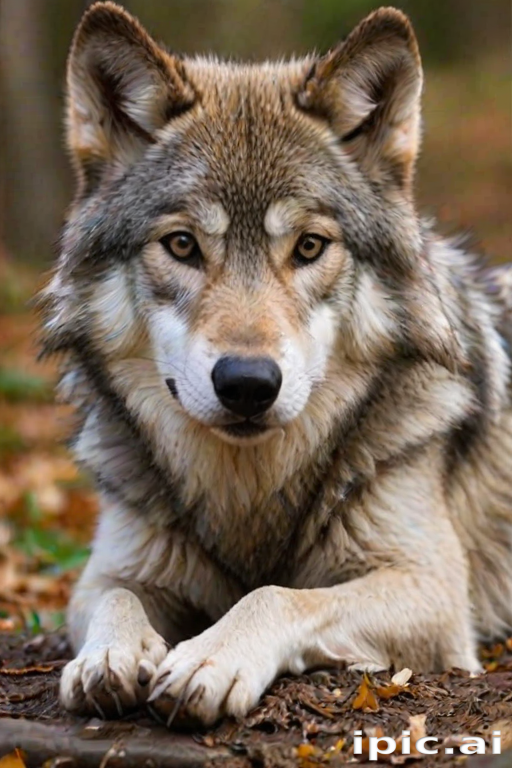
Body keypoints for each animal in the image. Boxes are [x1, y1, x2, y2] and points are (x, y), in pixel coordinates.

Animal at [40, 1, 512, 726]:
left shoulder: (430, 589)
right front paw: (108, 657)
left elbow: (277, 595)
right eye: (182, 245)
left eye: (310, 246)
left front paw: (211, 657)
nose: (247, 384)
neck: (250, 495)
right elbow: (117, 599)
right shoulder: (111, 569)